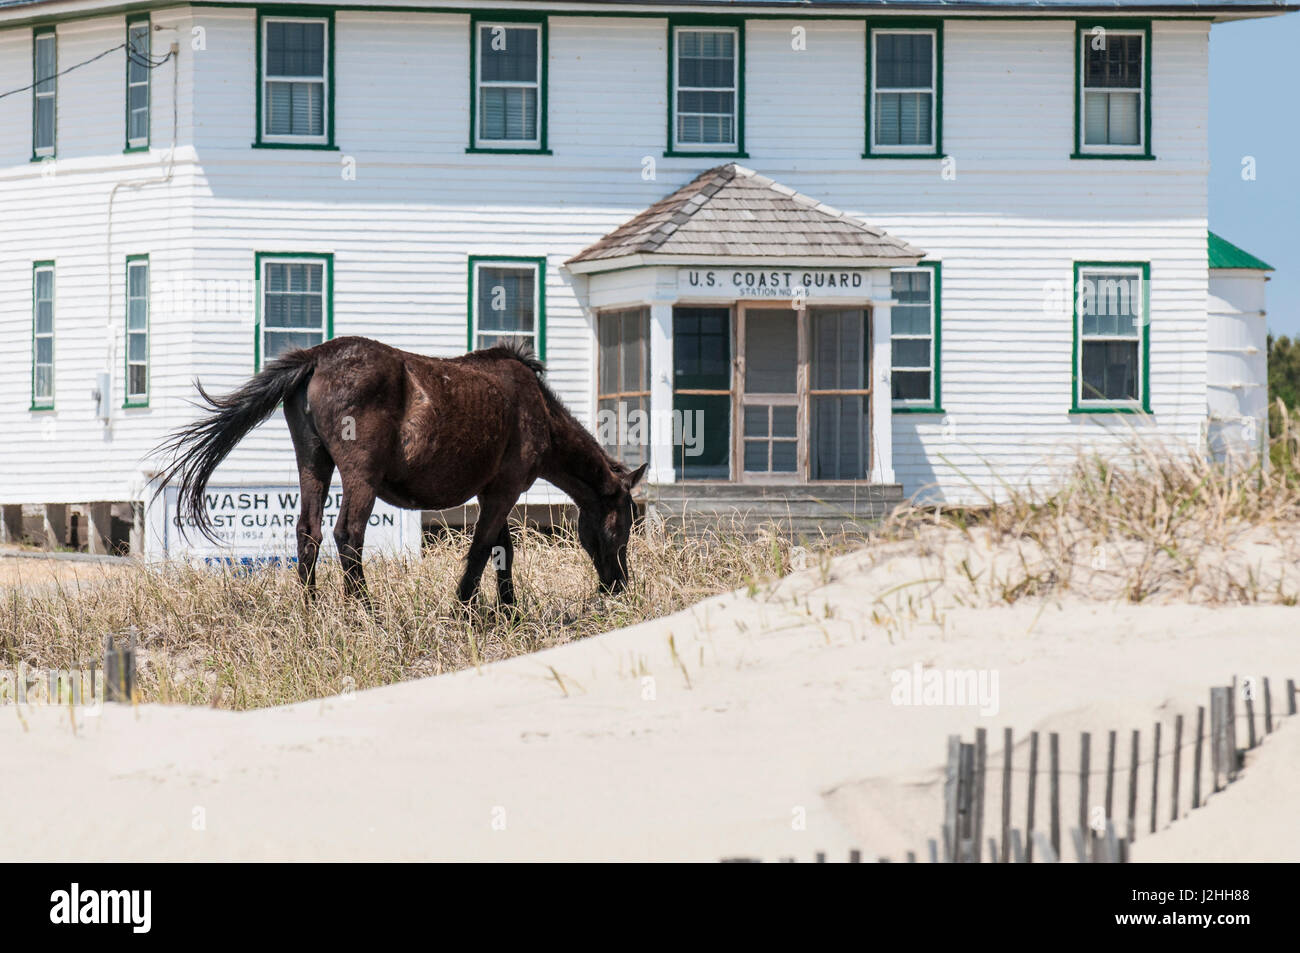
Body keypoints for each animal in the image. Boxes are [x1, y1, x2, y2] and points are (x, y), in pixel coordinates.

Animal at [155, 335, 647, 609]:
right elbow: (482, 550)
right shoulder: (504, 491)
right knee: (347, 537)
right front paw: (464, 608)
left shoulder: (493, 493)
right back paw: (365, 612)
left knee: (308, 532)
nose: (618, 586)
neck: (535, 406)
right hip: (360, 476)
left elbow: (501, 549)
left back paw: (311, 609)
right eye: (624, 526)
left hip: (313, 463)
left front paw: (509, 610)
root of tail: (316, 357)